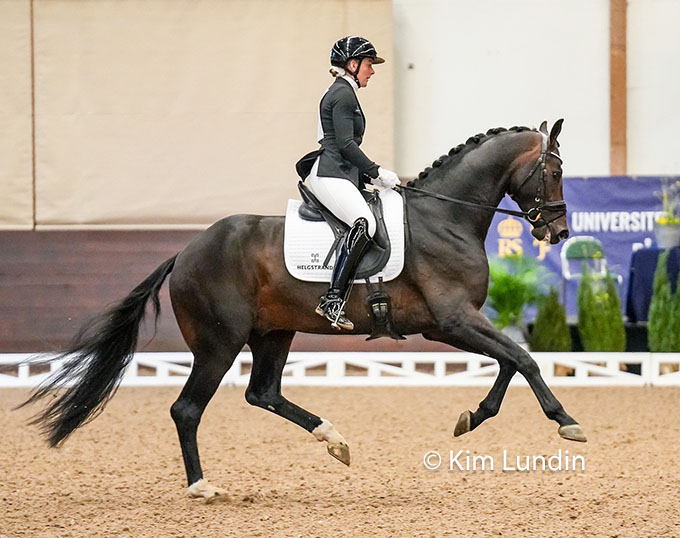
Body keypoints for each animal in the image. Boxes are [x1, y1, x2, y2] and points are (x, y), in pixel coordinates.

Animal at [21, 119, 585, 502]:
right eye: (555, 171)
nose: (558, 232)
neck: (444, 217)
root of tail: (185, 252)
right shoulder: (453, 320)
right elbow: (524, 358)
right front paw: (566, 421)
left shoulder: (451, 325)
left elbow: (511, 360)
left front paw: (473, 416)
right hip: (219, 344)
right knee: (188, 409)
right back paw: (203, 487)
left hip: (274, 334)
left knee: (263, 392)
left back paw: (334, 440)